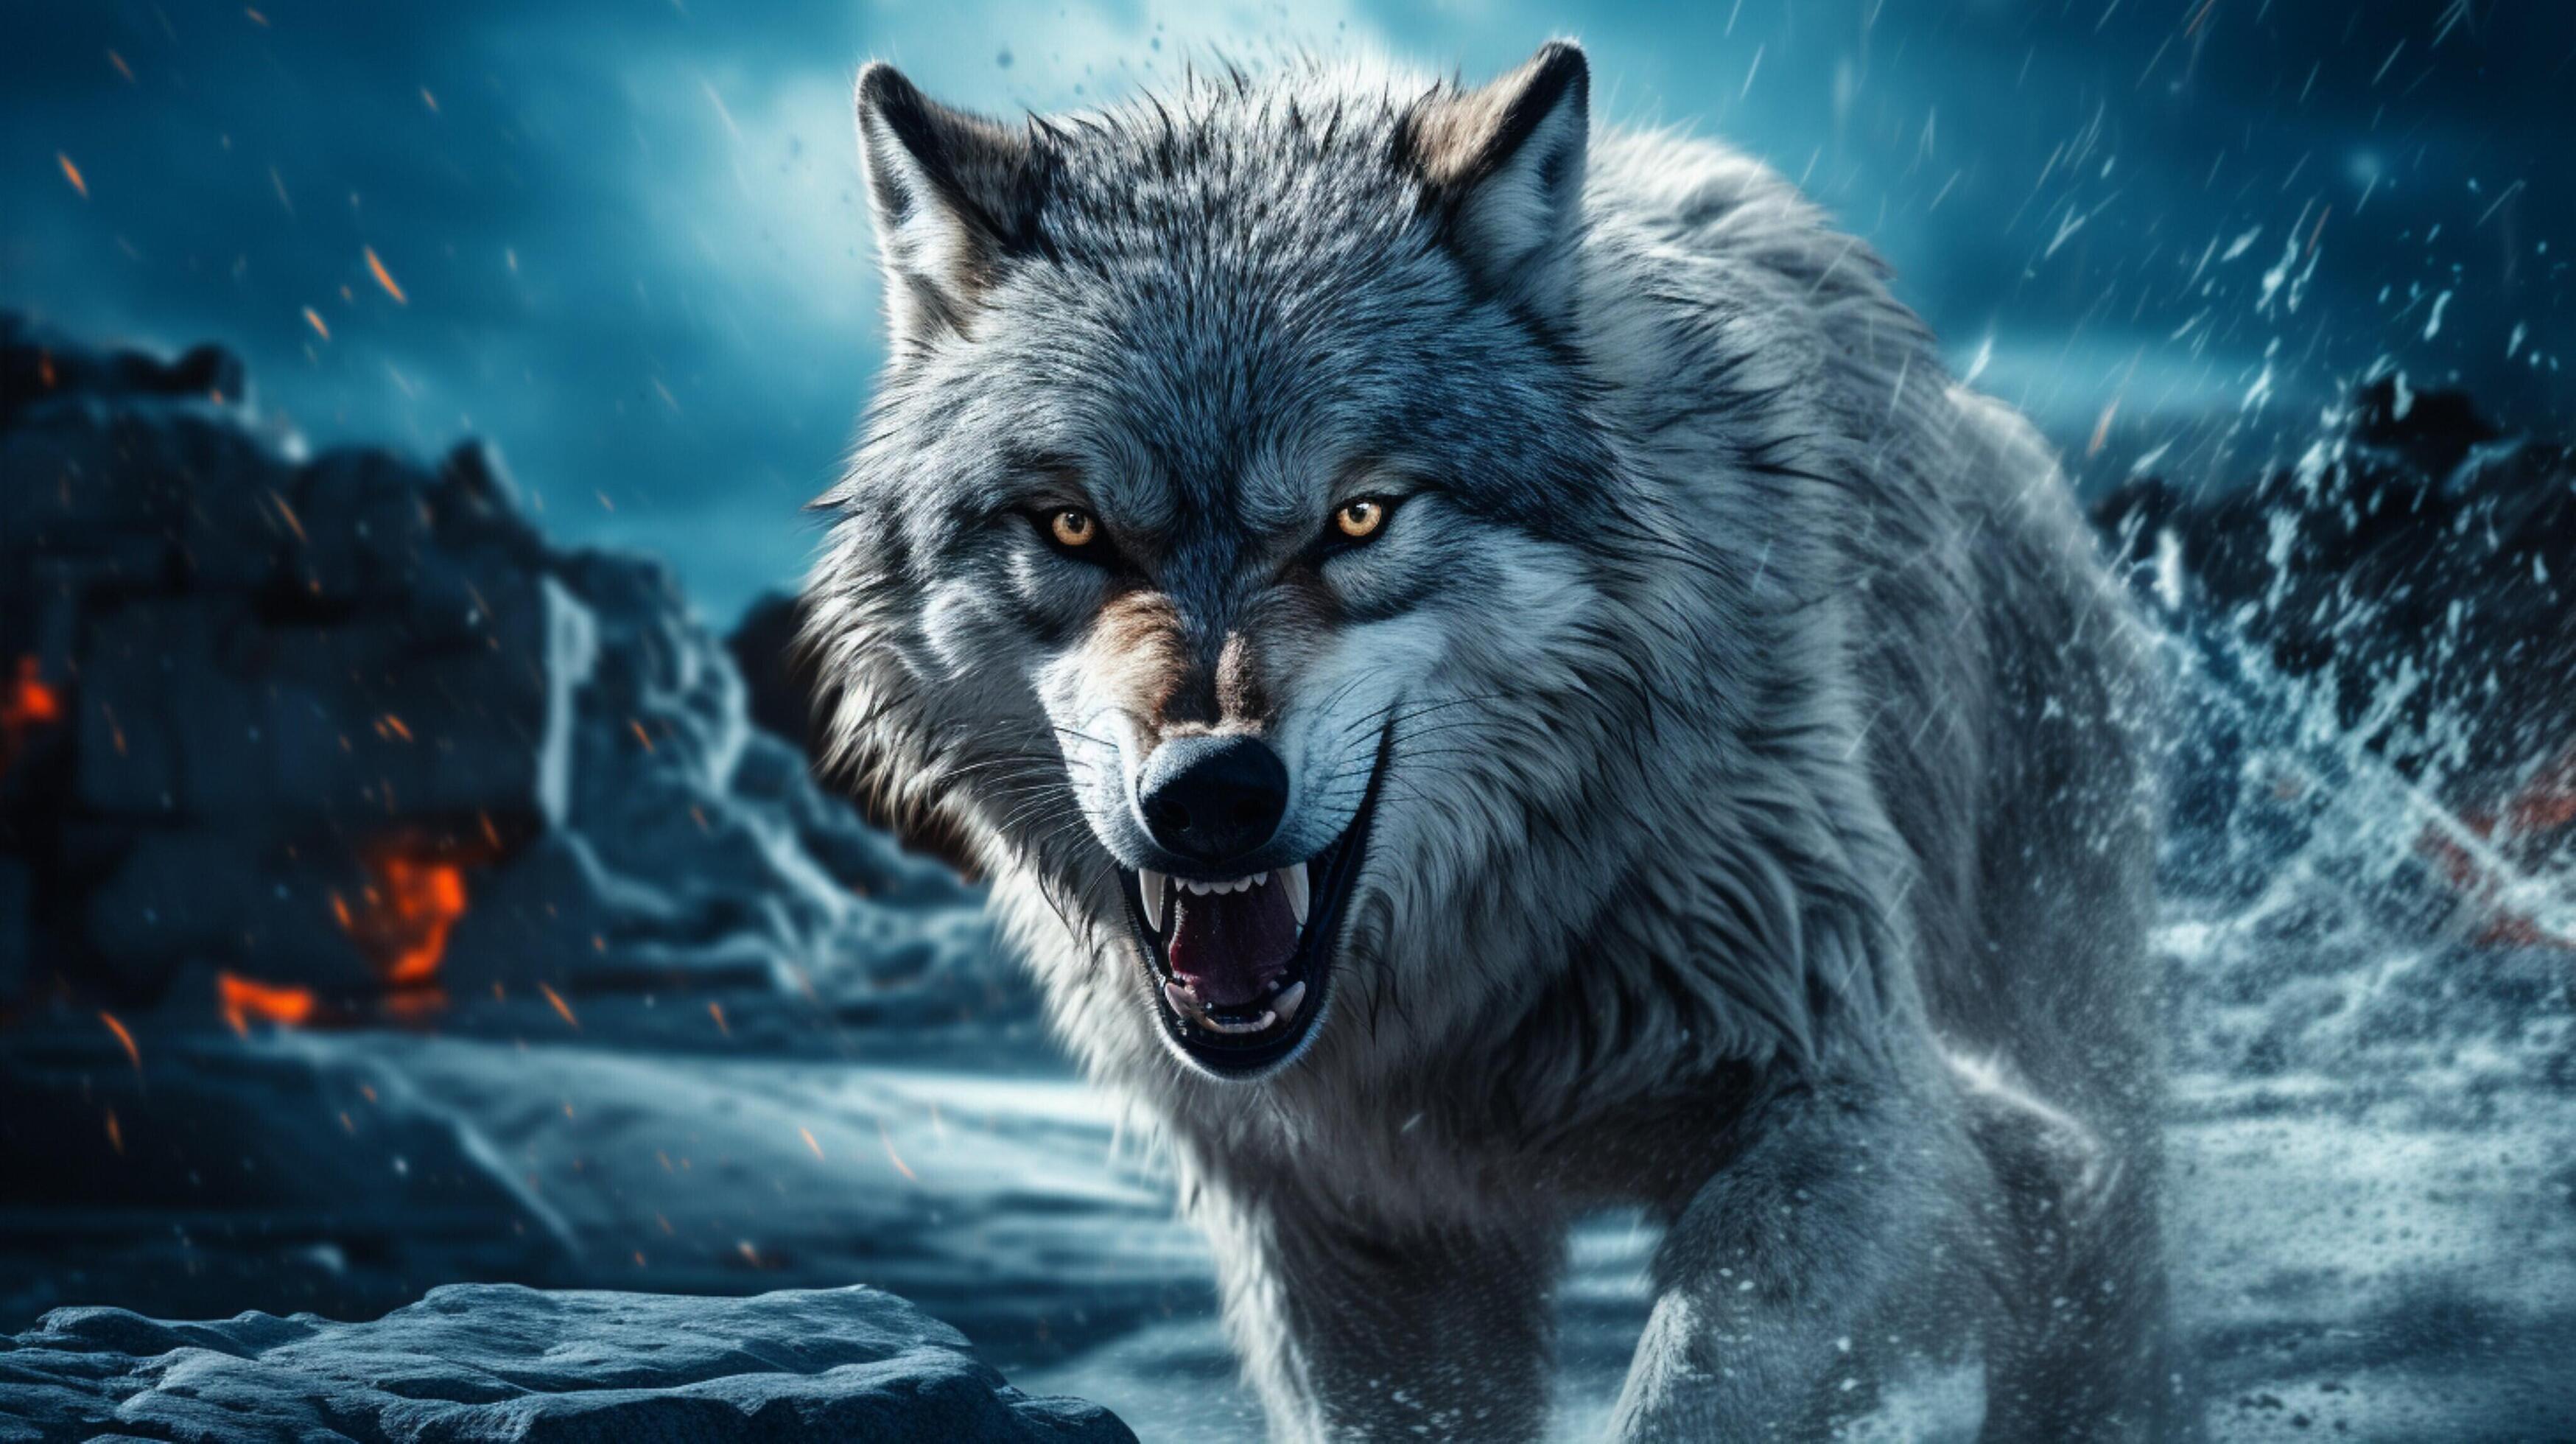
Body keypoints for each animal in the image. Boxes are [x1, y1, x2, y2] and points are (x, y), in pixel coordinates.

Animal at [807, 39, 2171, 1441]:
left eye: (1358, 517)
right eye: (1075, 529)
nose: (1209, 793)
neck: (1446, 1016)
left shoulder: (1847, 1101)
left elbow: (1687, 1397)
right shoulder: (1348, 1239)